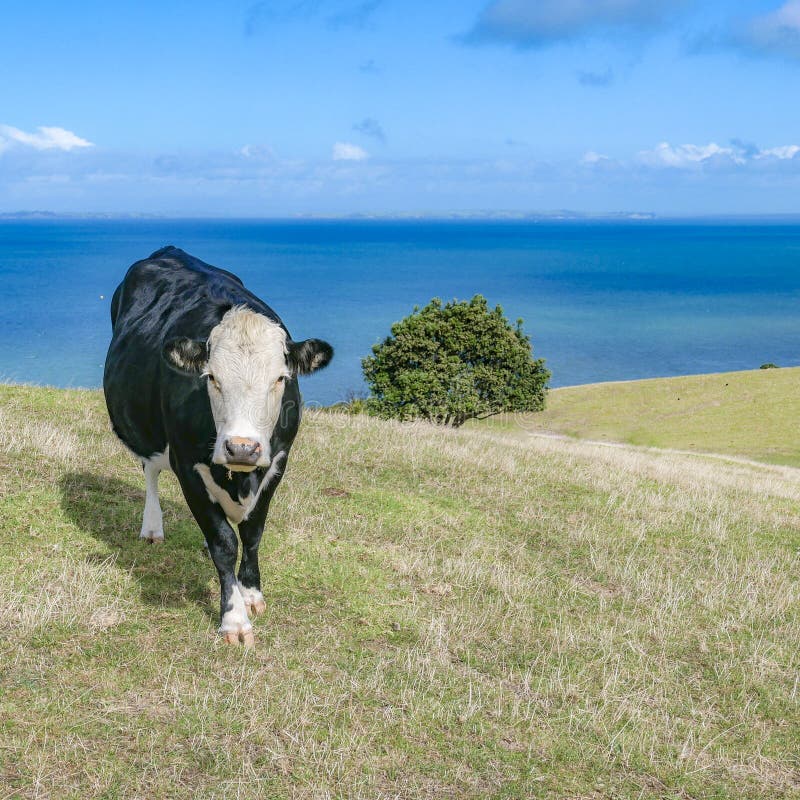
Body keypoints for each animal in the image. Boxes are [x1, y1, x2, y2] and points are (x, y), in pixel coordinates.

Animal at [103, 246, 333, 645]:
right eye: (211, 377)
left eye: (280, 378)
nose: (241, 447)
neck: (239, 477)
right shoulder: (188, 468)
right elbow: (224, 543)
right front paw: (234, 619)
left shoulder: (277, 462)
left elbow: (253, 533)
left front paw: (251, 593)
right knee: (150, 470)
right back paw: (152, 528)